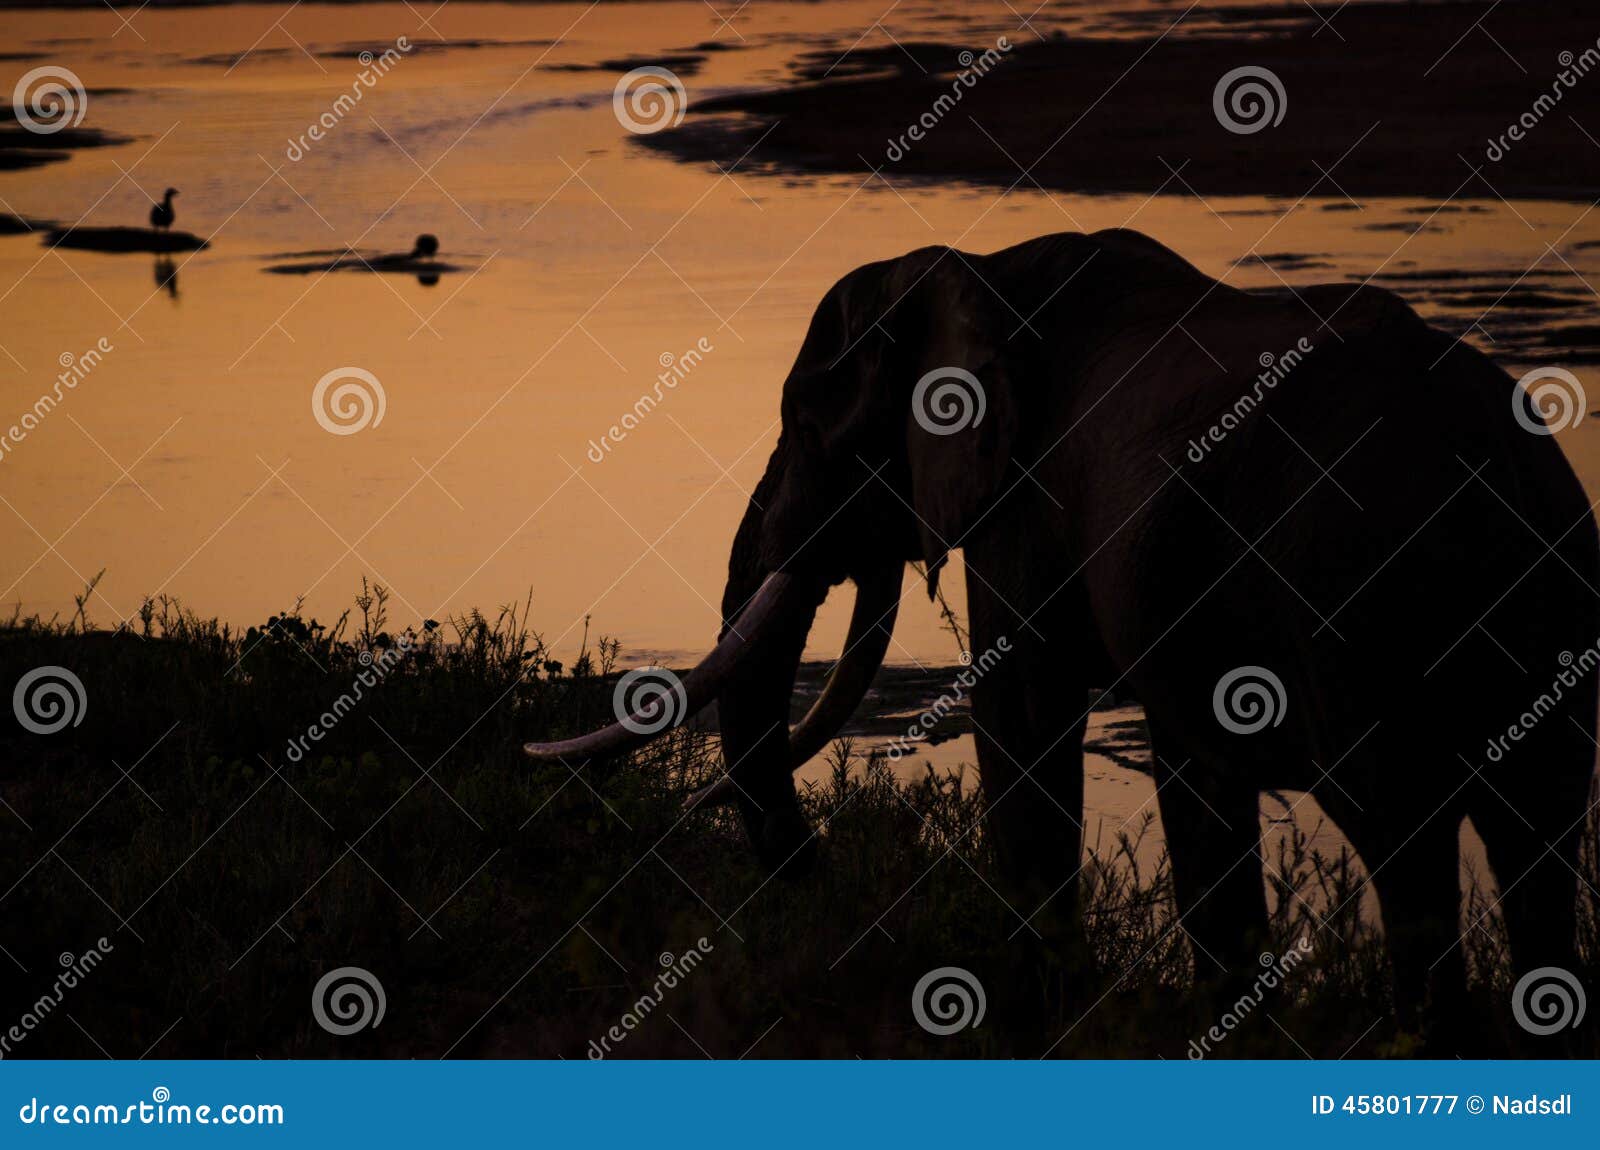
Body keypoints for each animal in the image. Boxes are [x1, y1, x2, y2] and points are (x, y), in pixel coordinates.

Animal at [527, 228, 1599, 1030]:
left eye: (804, 424)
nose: (812, 877)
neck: (977, 270)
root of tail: (1497, 467)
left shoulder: (1022, 502)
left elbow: (1024, 720)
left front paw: (1036, 1016)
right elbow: (1194, 776)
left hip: (1360, 602)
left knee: (1406, 837)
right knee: (1540, 834)